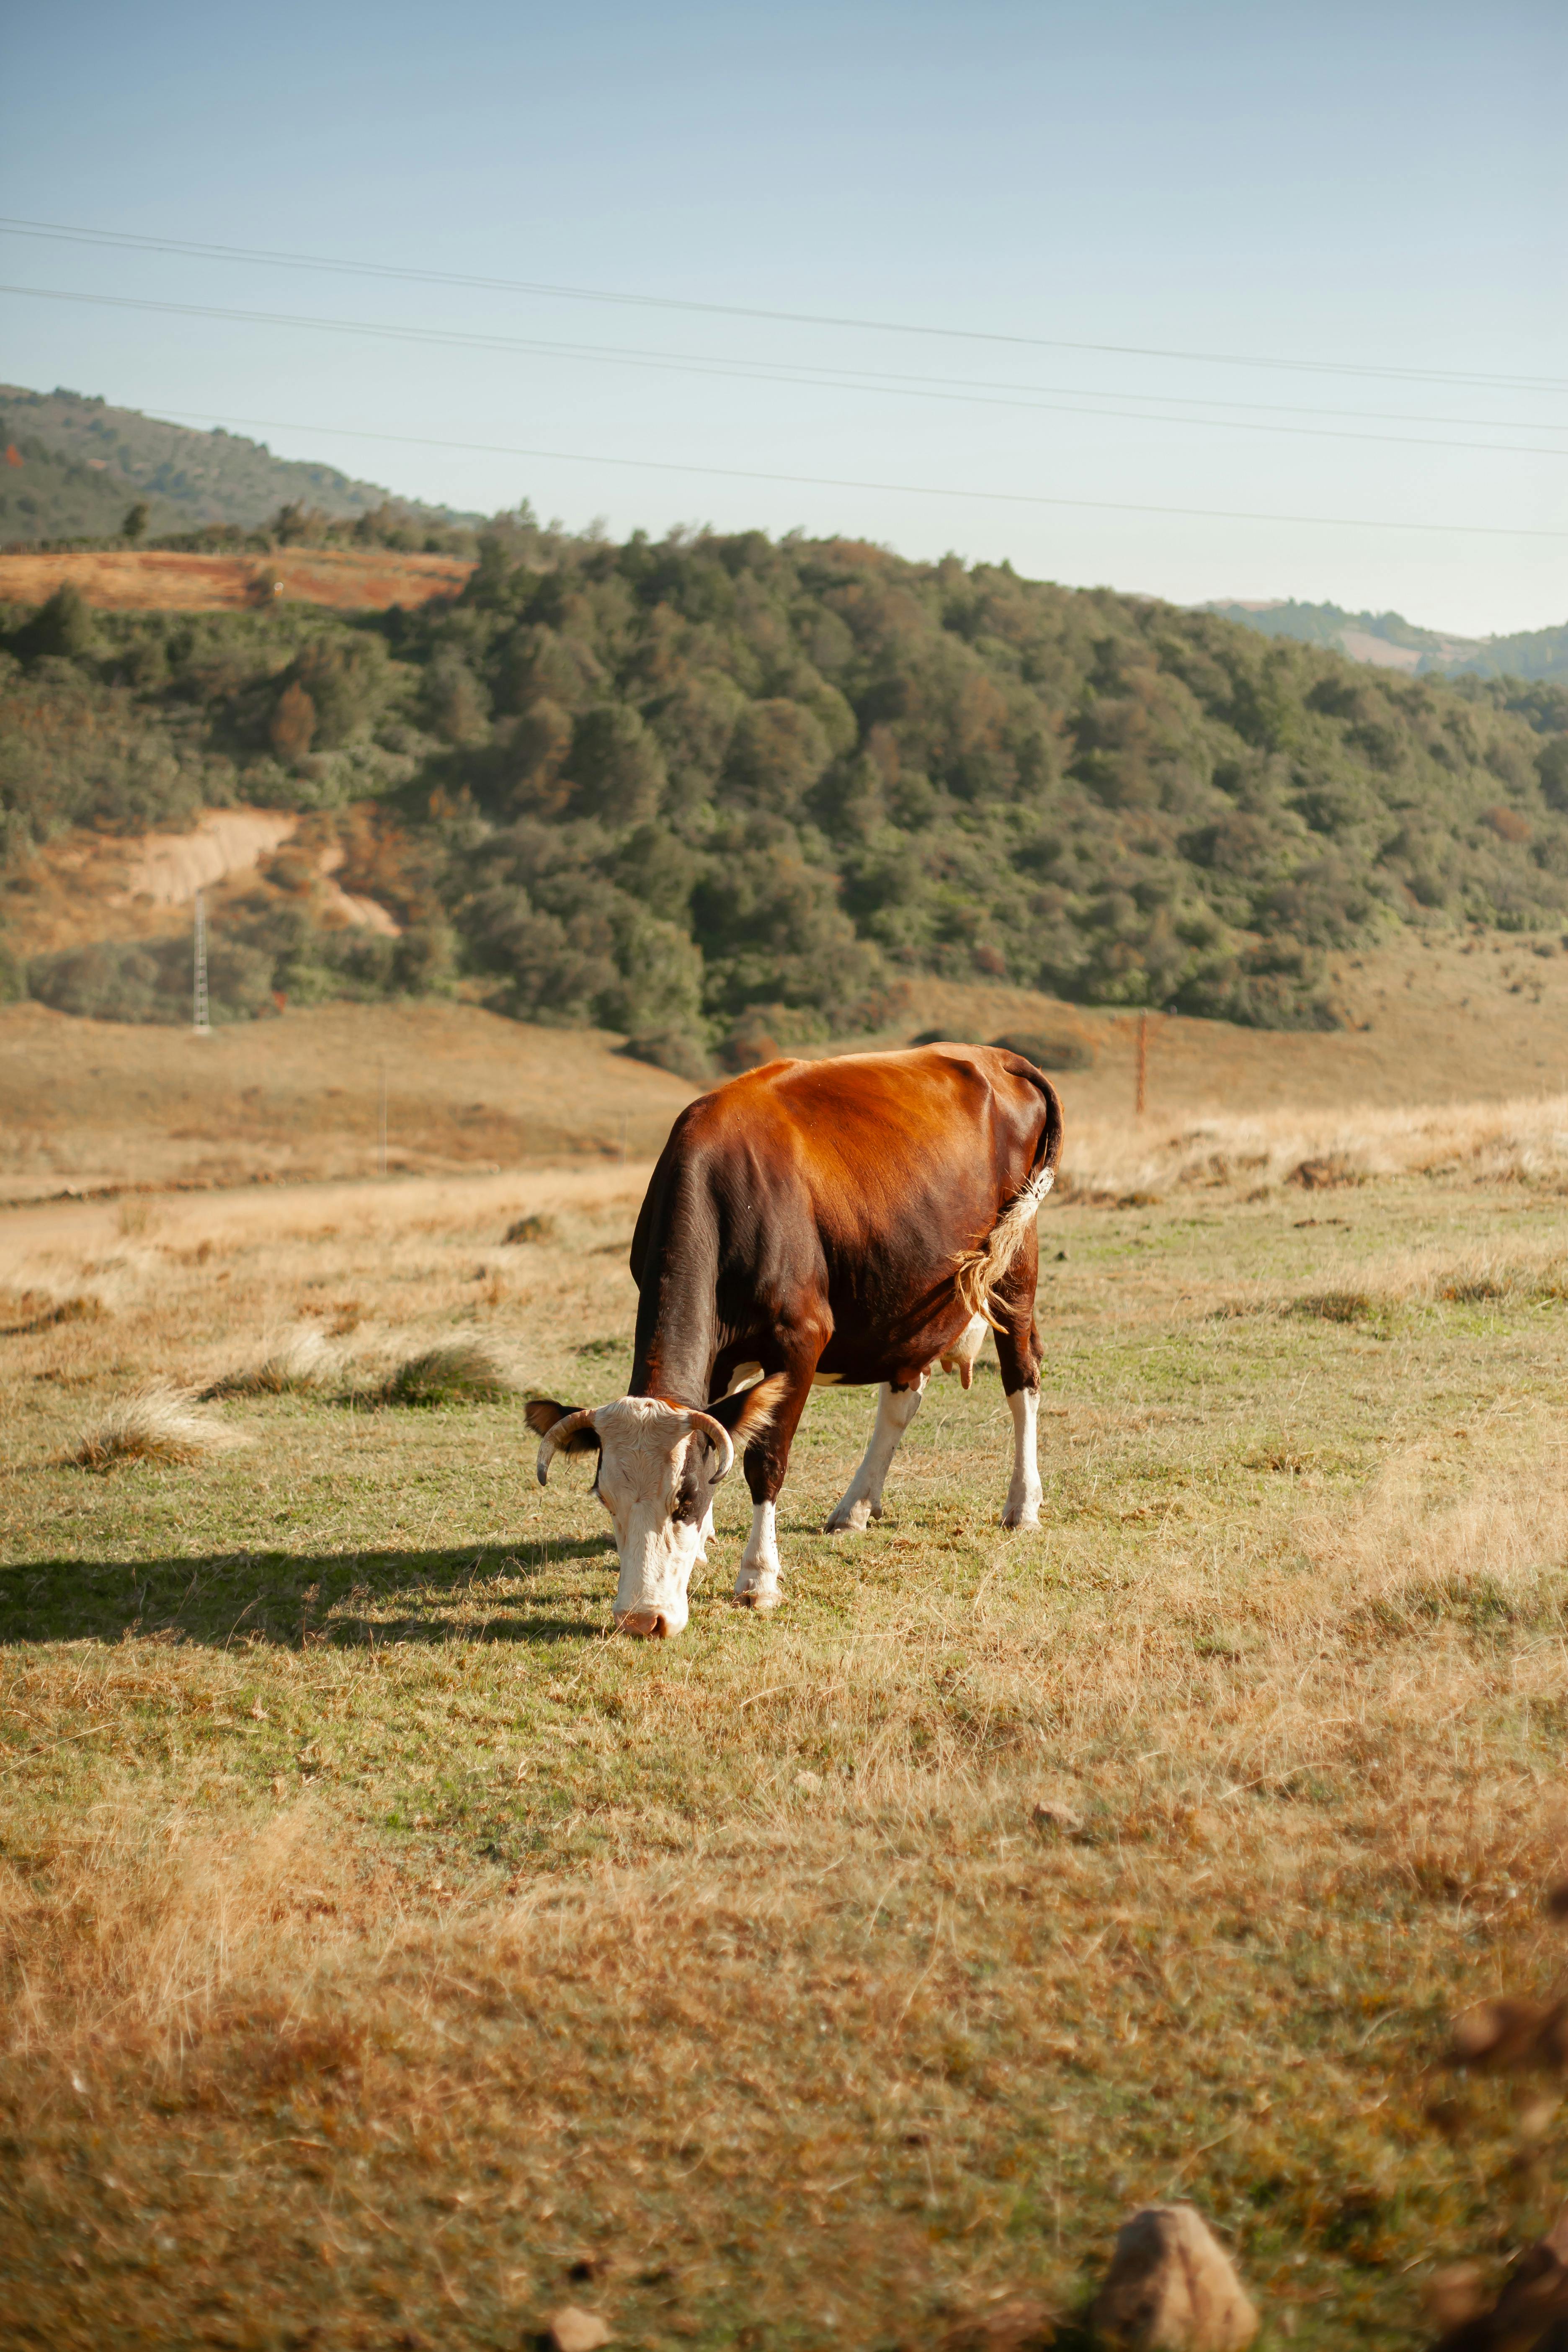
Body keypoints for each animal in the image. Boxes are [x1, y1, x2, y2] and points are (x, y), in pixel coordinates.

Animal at [525, 1042, 1064, 1638]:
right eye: (605, 1498)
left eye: (683, 1498)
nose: (642, 1620)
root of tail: (997, 1056)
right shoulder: (718, 1356)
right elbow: (721, 1429)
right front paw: (708, 1543)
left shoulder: (800, 1340)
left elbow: (765, 1460)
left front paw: (757, 1579)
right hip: (908, 1293)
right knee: (903, 1396)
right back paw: (856, 1508)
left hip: (1015, 1264)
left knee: (1022, 1378)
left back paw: (1023, 1505)